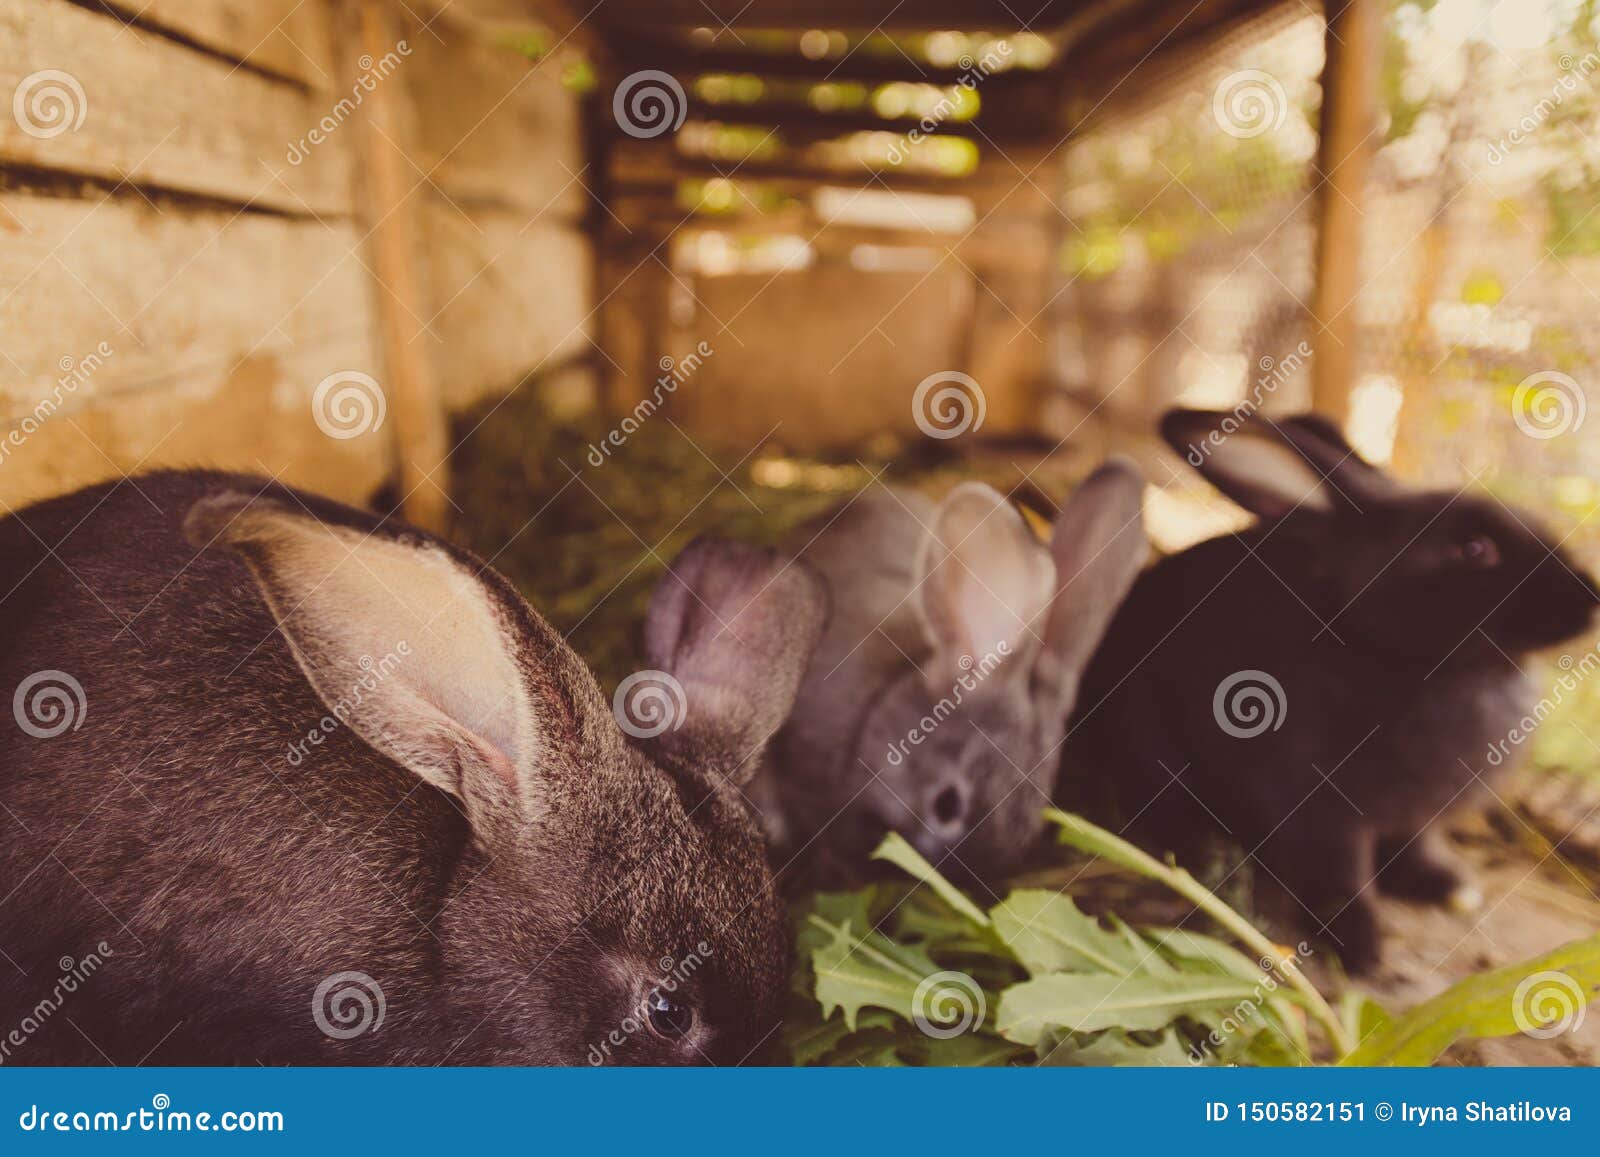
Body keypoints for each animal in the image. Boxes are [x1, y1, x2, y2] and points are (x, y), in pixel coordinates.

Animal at [1059, 408, 1600, 973]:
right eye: (1473, 548)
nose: (1590, 596)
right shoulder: (1319, 809)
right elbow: (1339, 874)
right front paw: (1363, 948)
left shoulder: (1416, 818)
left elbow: (1416, 845)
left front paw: (1448, 885)